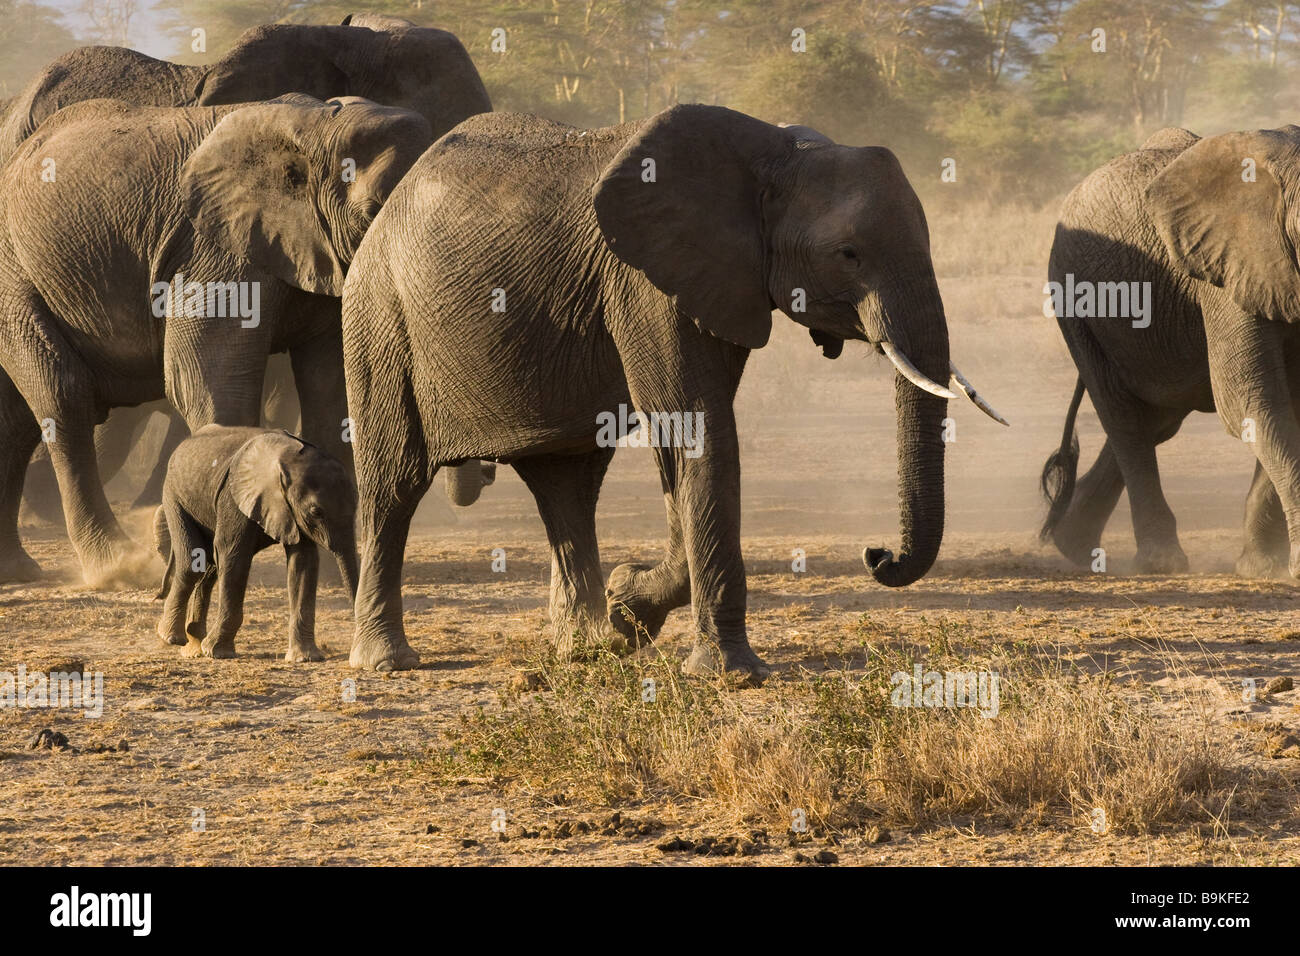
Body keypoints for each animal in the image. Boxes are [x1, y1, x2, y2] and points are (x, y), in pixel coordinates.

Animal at [0, 94, 432, 585]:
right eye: (374, 208)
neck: (318, 125)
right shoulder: (214, 248)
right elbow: (207, 378)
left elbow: (330, 388)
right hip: (17, 274)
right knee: (63, 396)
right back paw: (117, 565)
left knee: (18, 420)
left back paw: (17, 569)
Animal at [154, 426, 357, 662]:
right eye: (316, 512)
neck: (285, 460)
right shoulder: (234, 497)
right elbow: (234, 556)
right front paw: (218, 652)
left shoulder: (293, 512)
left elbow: (303, 563)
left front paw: (305, 658)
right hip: (173, 496)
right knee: (193, 562)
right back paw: (171, 638)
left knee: (209, 565)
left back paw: (194, 647)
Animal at [340, 105, 1004, 679]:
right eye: (848, 254)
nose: (877, 554)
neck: (776, 151)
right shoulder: (645, 281)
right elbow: (696, 427)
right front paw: (728, 672)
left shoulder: (717, 278)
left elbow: (683, 445)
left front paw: (627, 605)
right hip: (378, 317)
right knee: (394, 483)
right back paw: (386, 661)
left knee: (567, 483)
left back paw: (588, 647)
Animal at [1040, 125, 1291, 577]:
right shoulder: (1227, 272)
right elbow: (1250, 401)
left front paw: (1264, 570)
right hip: (1075, 301)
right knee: (1126, 421)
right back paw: (1159, 561)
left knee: (1156, 418)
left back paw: (1072, 544)